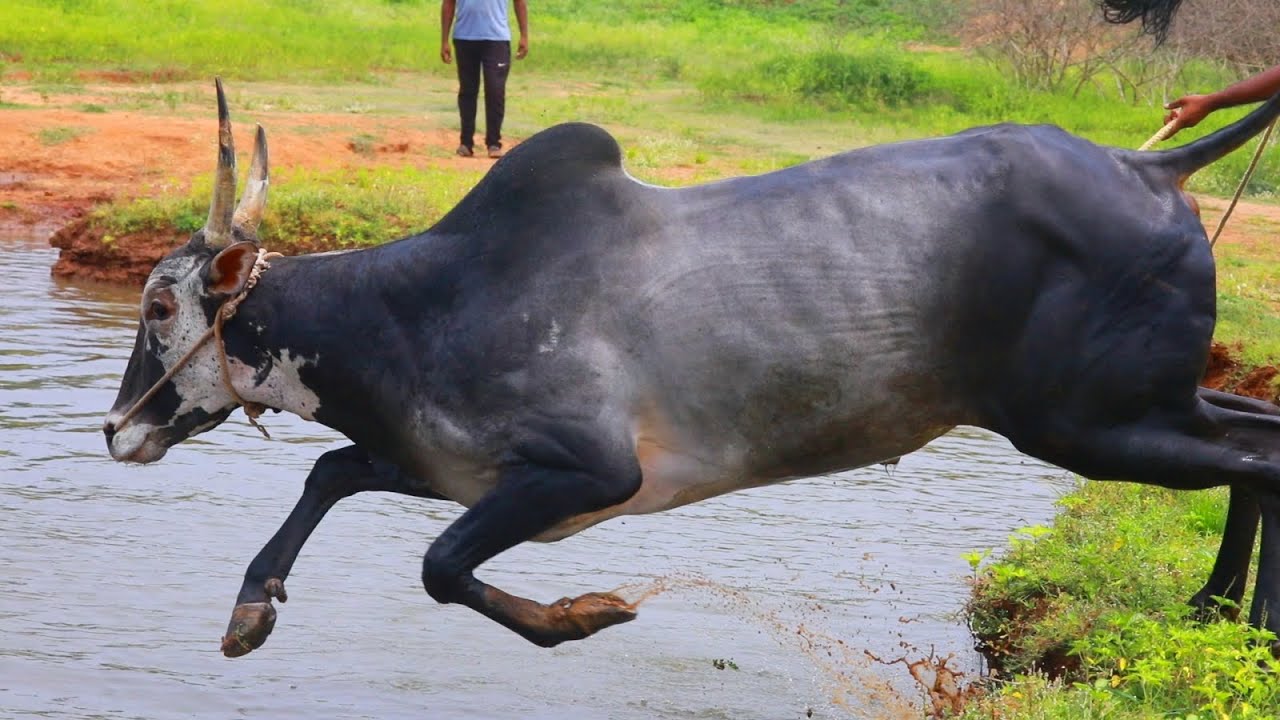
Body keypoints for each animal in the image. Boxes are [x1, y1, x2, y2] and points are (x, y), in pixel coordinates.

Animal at [103, 79, 1280, 658]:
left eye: (160, 306)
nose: (118, 430)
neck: (411, 309)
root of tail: (1149, 166)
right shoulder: (458, 470)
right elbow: (331, 473)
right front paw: (251, 610)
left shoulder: (587, 475)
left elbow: (439, 567)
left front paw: (586, 616)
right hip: (1137, 403)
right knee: (1254, 439)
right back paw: (1208, 610)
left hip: (1084, 424)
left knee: (1257, 461)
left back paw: (1243, 623)